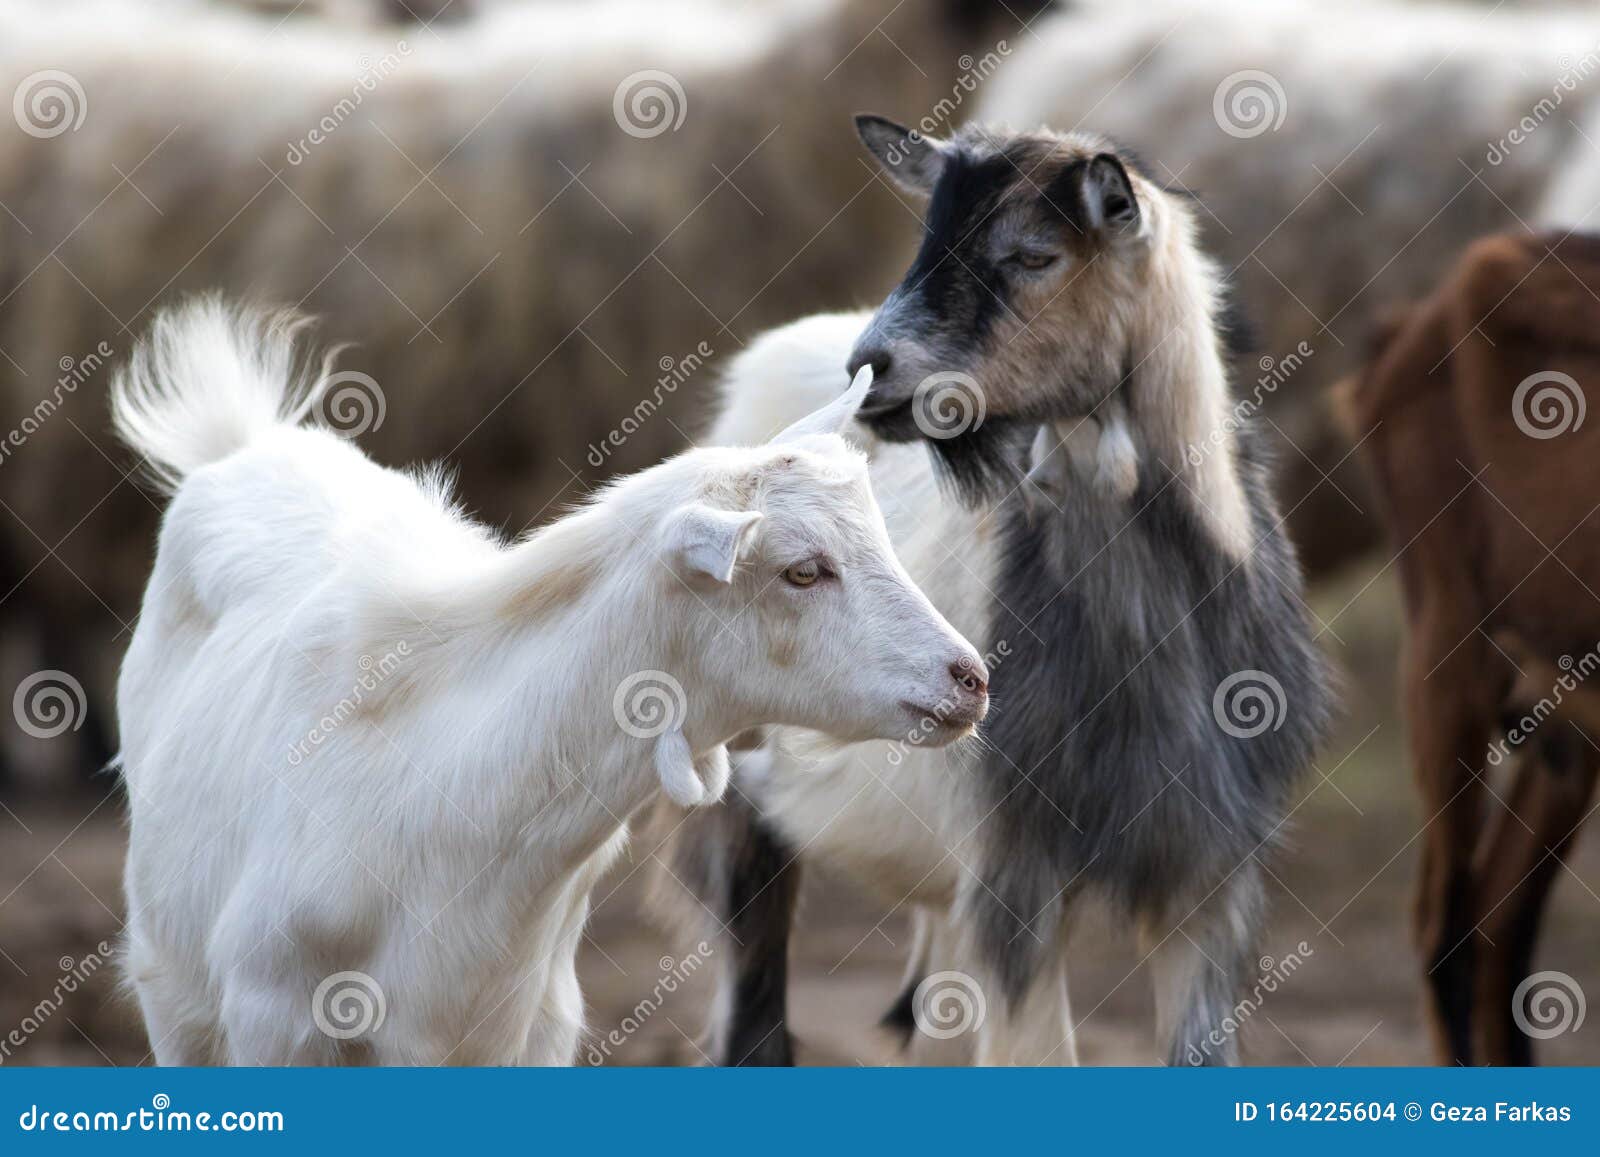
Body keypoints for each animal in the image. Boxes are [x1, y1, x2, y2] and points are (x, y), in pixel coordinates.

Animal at [112, 297, 988, 1065]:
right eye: (803, 569)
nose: (970, 677)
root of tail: (241, 444)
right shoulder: (276, 1019)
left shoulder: (527, 1029)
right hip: (174, 996)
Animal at [657, 119, 1332, 1066]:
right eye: (927, 235)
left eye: (1033, 255)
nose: (873, 367)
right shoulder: (1015, 878)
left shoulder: (1210, 879)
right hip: (734, 800)